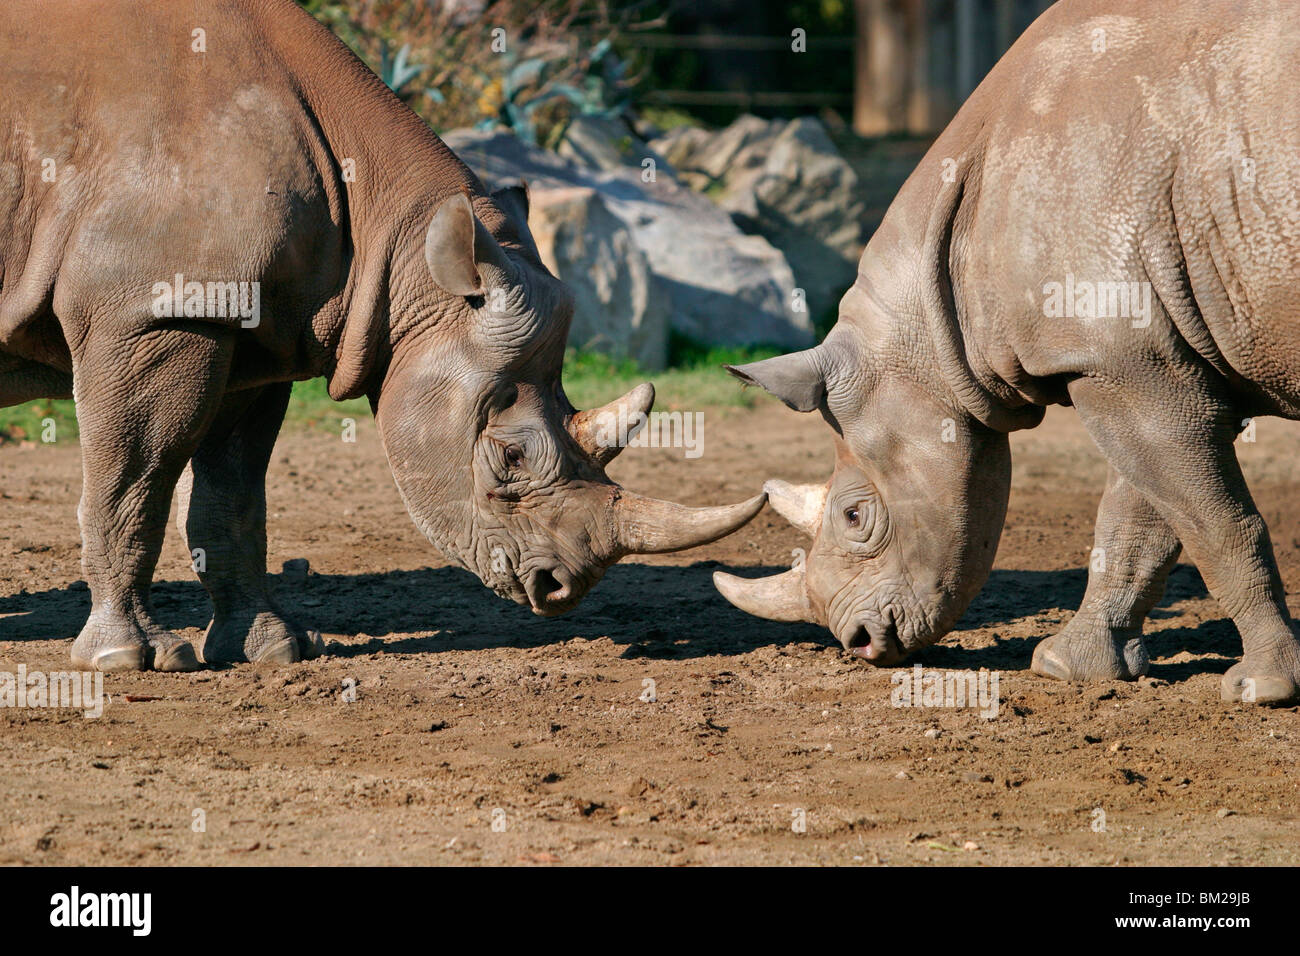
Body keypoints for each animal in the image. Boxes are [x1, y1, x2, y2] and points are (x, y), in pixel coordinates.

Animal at [0, 0, 765, 672]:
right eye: (510, 458)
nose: (563, 589)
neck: (396, 237)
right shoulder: (157, 309)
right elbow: (134, 483)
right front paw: (129, 659)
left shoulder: (251, 331)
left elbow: (232, 499)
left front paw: (274, 650)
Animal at [715, 0, 1300, 704]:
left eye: (855, 516)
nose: (858, 643)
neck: (934, 329)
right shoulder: (1123, 361)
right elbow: (1140, 516)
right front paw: (1067, 668)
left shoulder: (1124, 363)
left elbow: (1215, 525)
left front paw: (1262, 689)